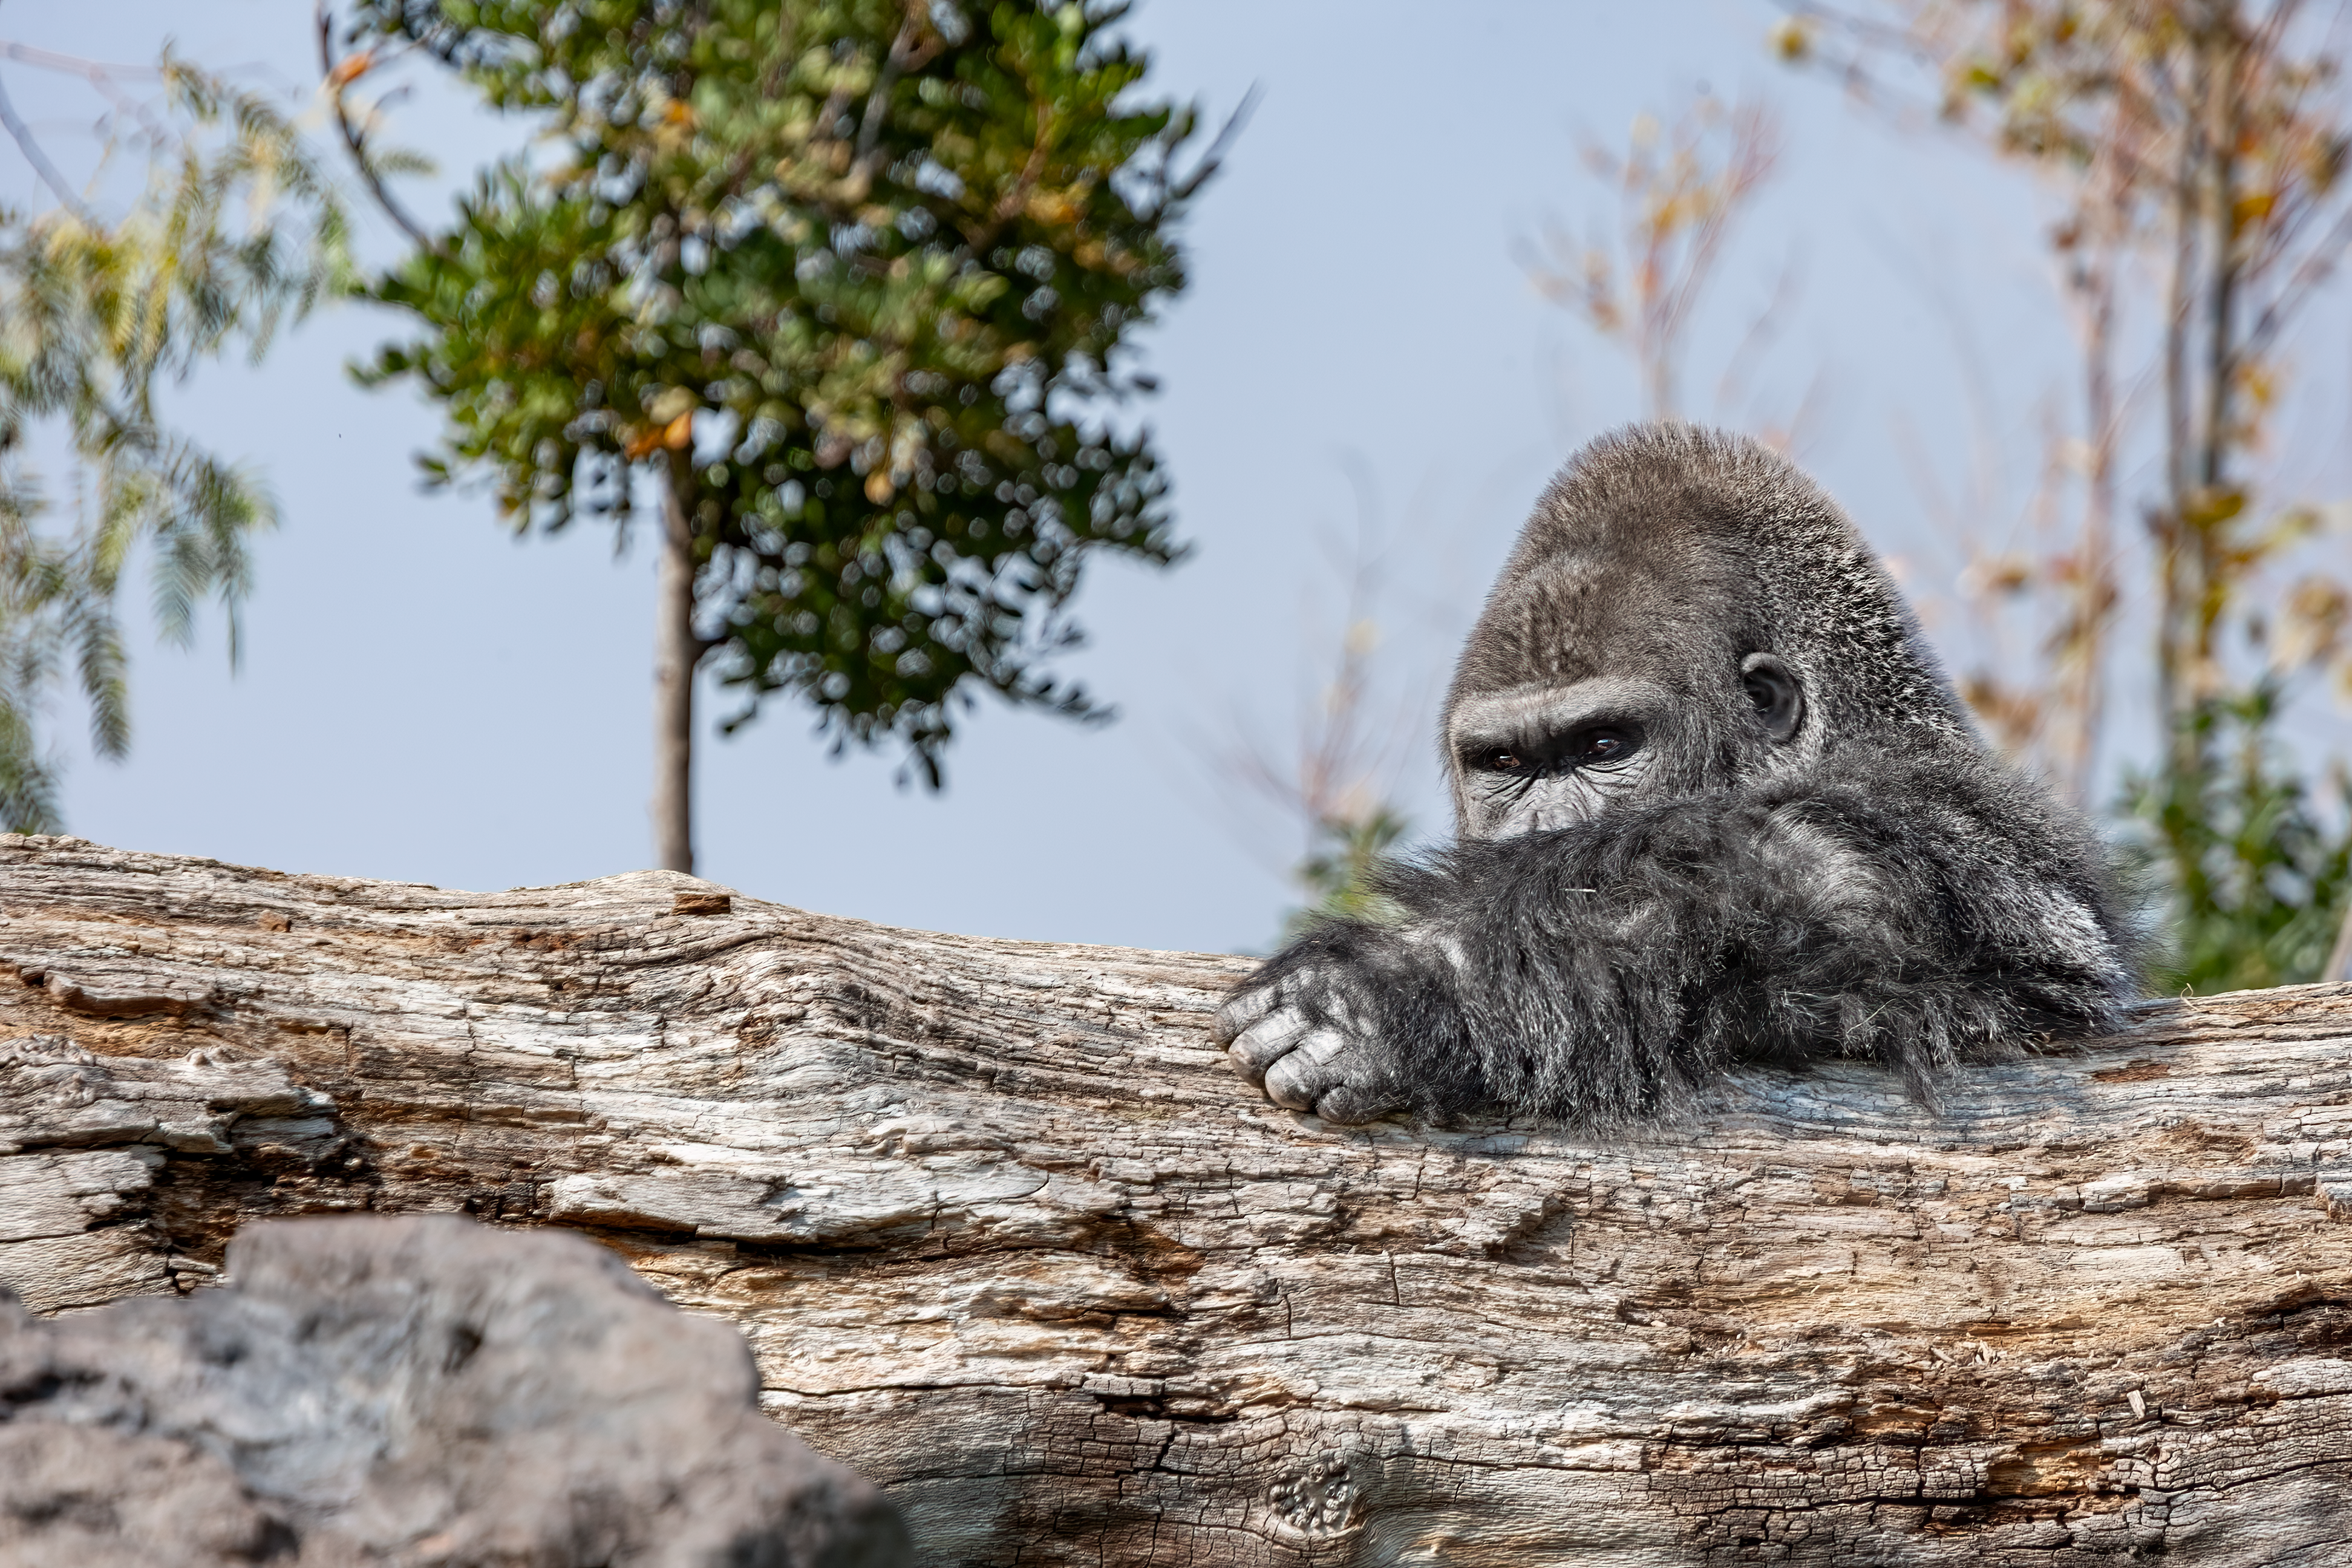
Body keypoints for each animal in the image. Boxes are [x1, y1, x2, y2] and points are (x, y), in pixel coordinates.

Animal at [1215, 423, 2137, 1127]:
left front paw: (1416, 984)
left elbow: (1847, 879)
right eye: (1505, 764)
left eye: (1605, 746)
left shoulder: (1968, 820)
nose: (1542, 838)